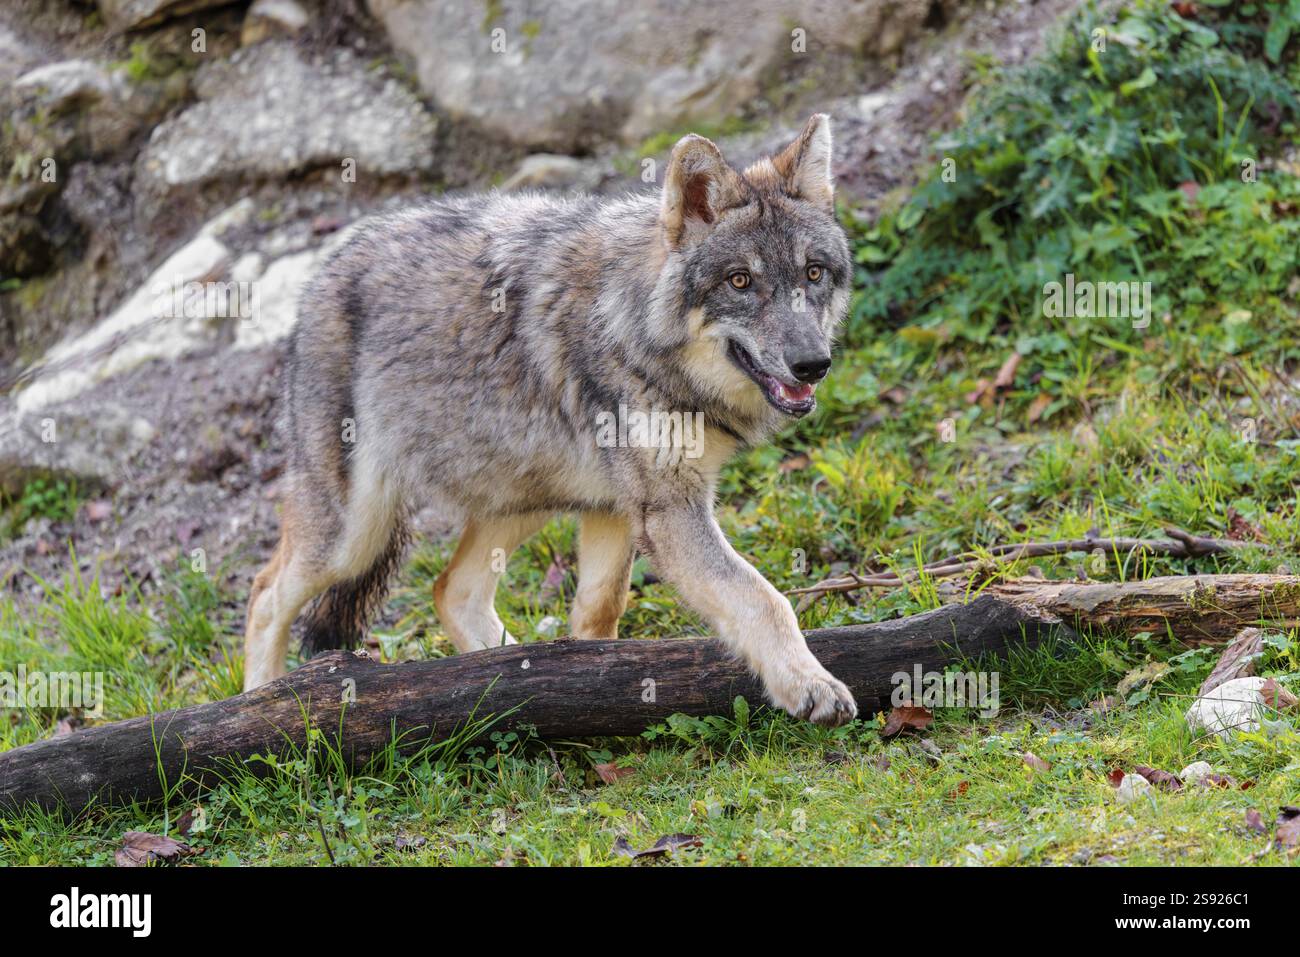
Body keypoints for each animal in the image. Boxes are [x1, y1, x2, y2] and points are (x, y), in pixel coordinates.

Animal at [243, 114, 857, 725]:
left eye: (813, 273)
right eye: (740, 281)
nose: (813, 364)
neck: (633, 328)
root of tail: (326, 269)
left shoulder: (616, 510)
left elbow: (599, 613)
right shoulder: (668, 511)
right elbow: (761, 597)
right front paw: (811, 685)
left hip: (525, 496)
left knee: (450, 591)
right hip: (354, 536)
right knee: (264, 592)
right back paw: (257, 706)